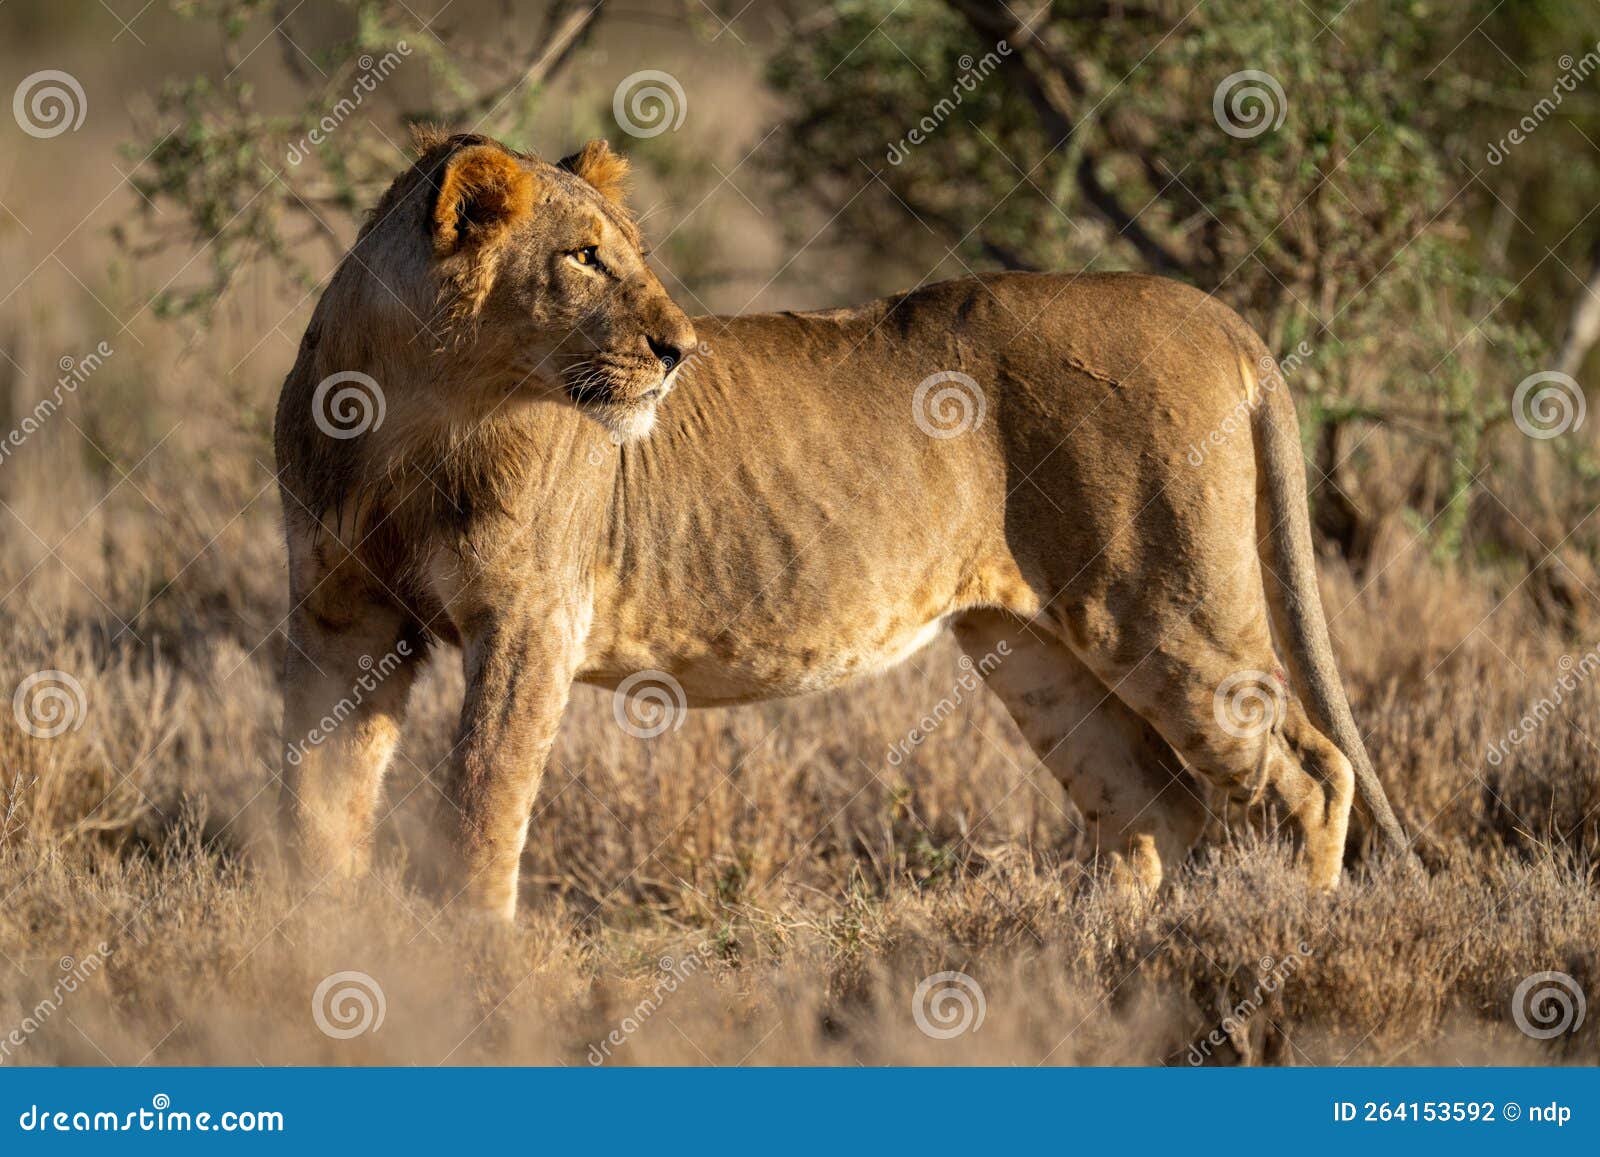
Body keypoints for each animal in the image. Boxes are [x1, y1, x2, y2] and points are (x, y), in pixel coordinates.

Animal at [274, 129, 1409, 923]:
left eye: (631, 253)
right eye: (584, 258)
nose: (681, 347)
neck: (408, 417)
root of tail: (1212, 309)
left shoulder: (529, 618)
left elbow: (481, 794)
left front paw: (471, 963)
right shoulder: (342, 616)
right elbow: (320, 792)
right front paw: (320, 954)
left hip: (1158, 603)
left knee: (1311, 770)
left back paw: (1281, 940)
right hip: (1032, 648)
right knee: (1149, 806)